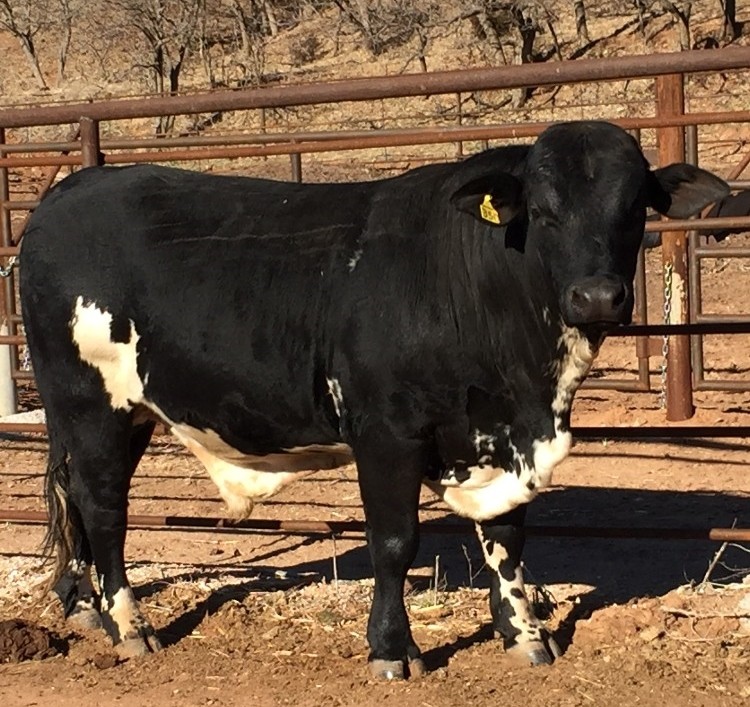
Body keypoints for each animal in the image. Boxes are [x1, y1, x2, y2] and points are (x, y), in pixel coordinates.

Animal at [19, 120, 728, 679]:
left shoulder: (499, 438)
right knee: (104, 509)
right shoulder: (387, 433)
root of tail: (68, 192)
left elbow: (507, 536)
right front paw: (392, 648)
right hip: (90, 405)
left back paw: (80, 604)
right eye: (546, 209)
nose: (597, 296)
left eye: (634, 206)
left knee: (74, 495)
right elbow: (394, 540)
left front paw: (525, 635)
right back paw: (129, 625)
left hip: (115, 414)